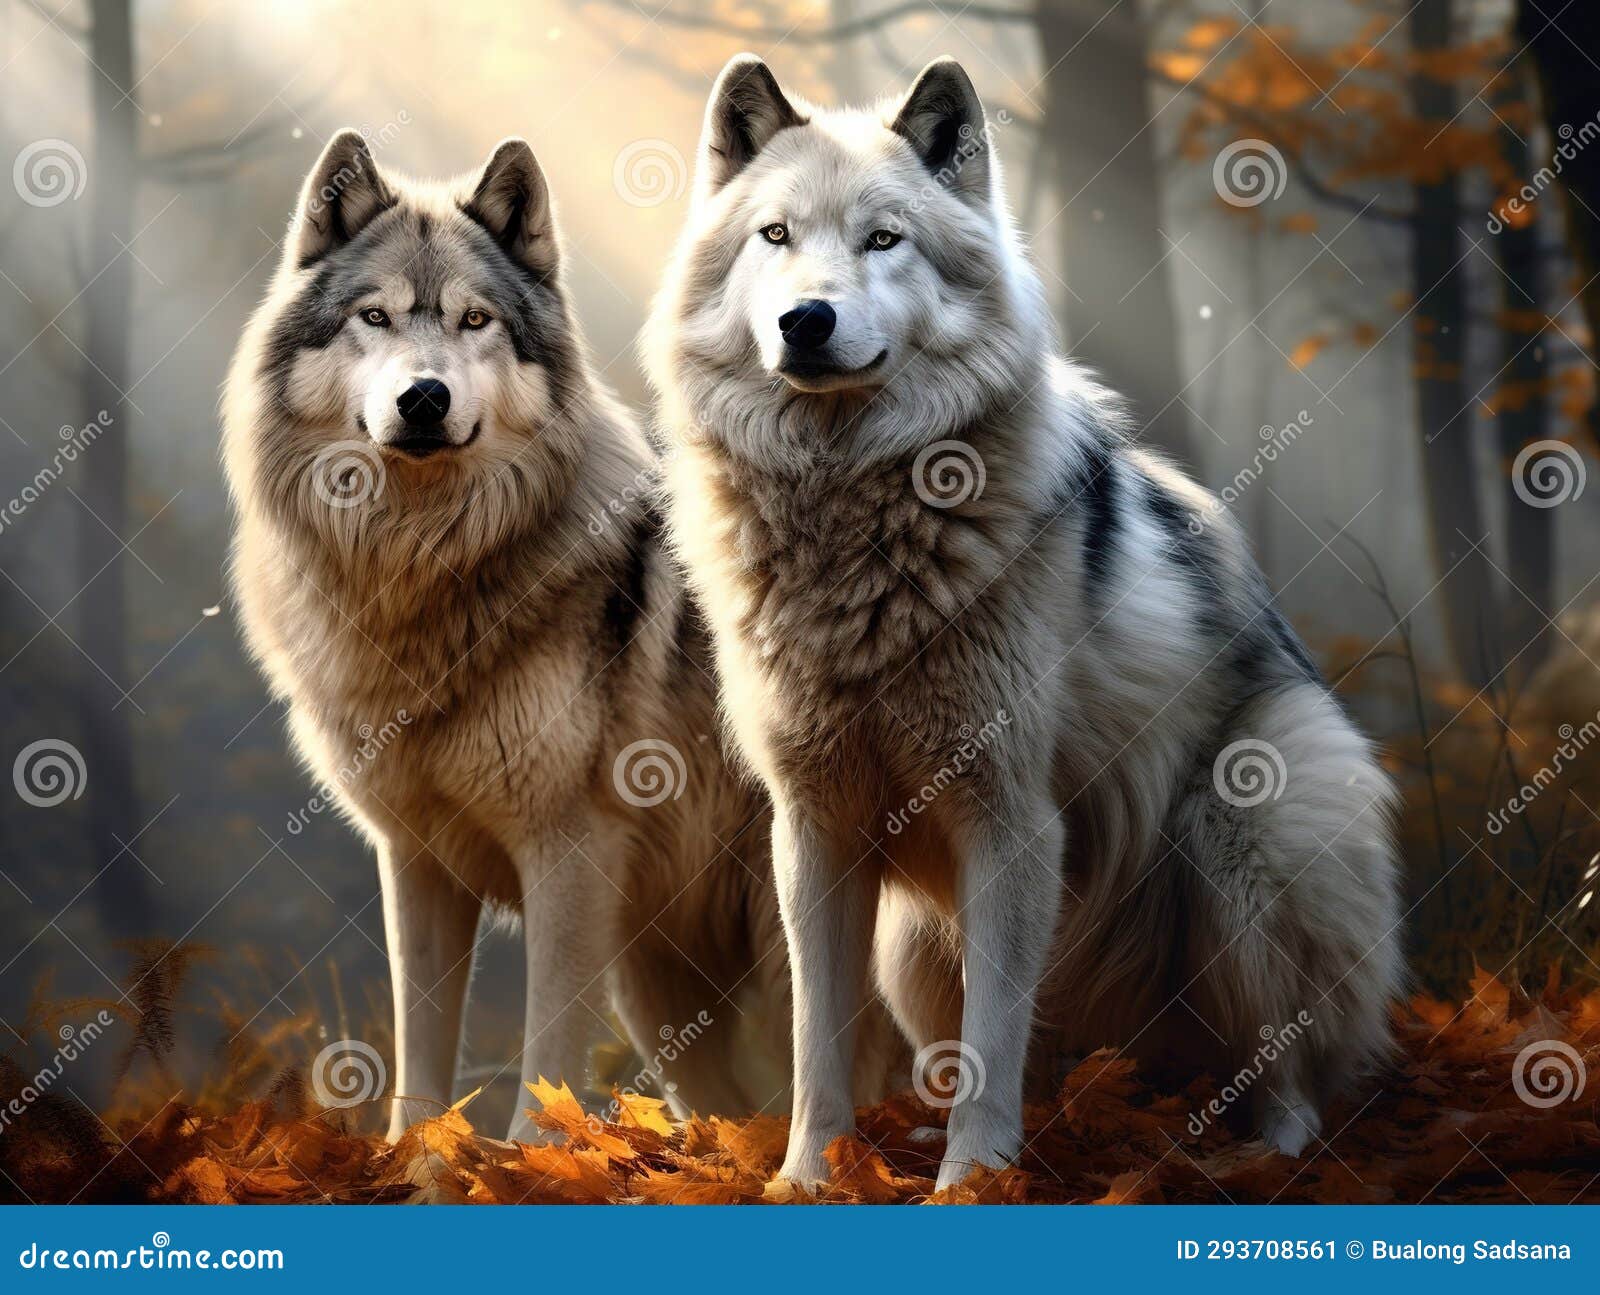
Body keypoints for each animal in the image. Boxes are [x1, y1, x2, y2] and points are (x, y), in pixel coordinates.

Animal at [221, 131, 890, 1140]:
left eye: (475, 321)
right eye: (375, 317)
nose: (424, 398)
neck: (426, 573)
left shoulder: (569, 855)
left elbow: (546, 1066)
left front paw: (531, 1160)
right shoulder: (416, 863)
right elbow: (420, 1059)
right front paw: (418, 1164)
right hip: (661, 990)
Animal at [645, 56, 1403, 1192]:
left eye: (883, 239)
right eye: (775, 235)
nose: (806, 321)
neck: (851, 516)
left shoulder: (1009, 822)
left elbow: (993, 1035)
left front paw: (972, 1181)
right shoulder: (812, 829)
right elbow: (820, 1037)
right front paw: (811, 1175)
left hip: (1251, 826)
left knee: (1290, 1070)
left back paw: (1252, 1154)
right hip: (915, 944)